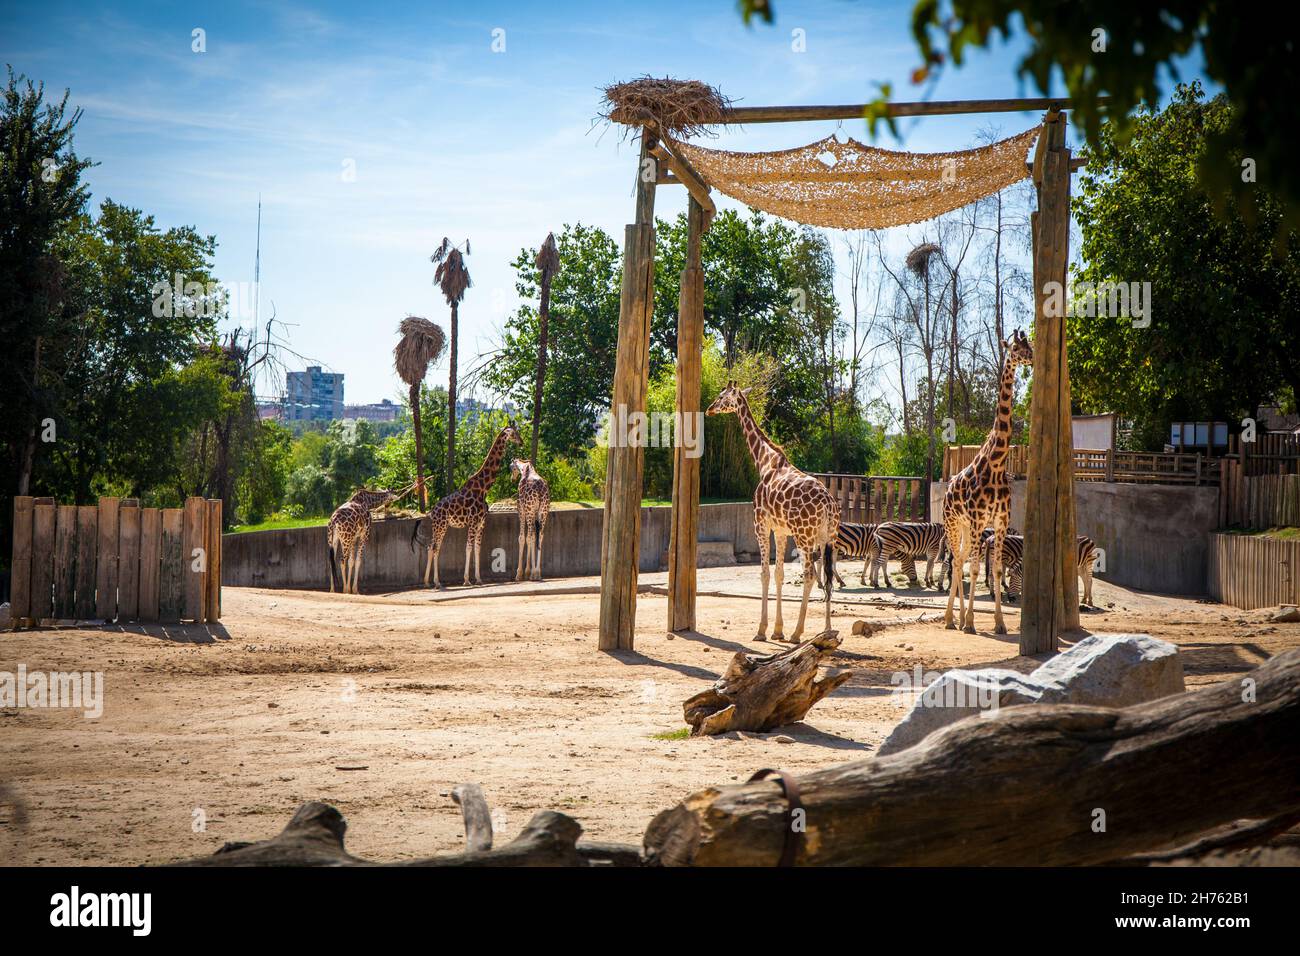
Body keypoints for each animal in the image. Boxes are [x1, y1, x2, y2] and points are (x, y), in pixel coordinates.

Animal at [410, 423, 522, 588]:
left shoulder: (481, 523)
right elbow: (468, 548)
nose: (522, 442)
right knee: (435, 547)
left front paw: (479, 578)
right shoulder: (473, 522)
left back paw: (427, 582)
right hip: (441, 525)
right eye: (514, 434)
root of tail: (432, 512)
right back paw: (437, 582)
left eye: (518, 433)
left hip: (439, 526)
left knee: (431, 547)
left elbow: (477, 548)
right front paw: (467, 580)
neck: (484, 488)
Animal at [706, 381, 840, 642]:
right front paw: (777, 630)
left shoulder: (760, 524)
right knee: (827, 579)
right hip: (827, 538)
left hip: (804, 536)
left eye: (721, 397)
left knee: (810, 575)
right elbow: (779, 574)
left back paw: (798, 633)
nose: (709, 409)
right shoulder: (780, 530)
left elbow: (765, 574)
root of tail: (829, 505)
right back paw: (827, 630)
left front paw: (761, 630)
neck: (763, 461)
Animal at [942, 329, 1033, 634]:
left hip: (965, 527)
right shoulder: (979, 521)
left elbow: (995, 569)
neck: (996, 463)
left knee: (959, 560)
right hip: (953, 523)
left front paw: (1000, 623)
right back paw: (952, 619)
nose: (1031, 358)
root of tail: (946, 490)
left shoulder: (1001, 521)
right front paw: (971, 622)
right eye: (1015, 348)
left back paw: (956, 618)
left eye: (1029, 344)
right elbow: (973, 569)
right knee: (957, 561)